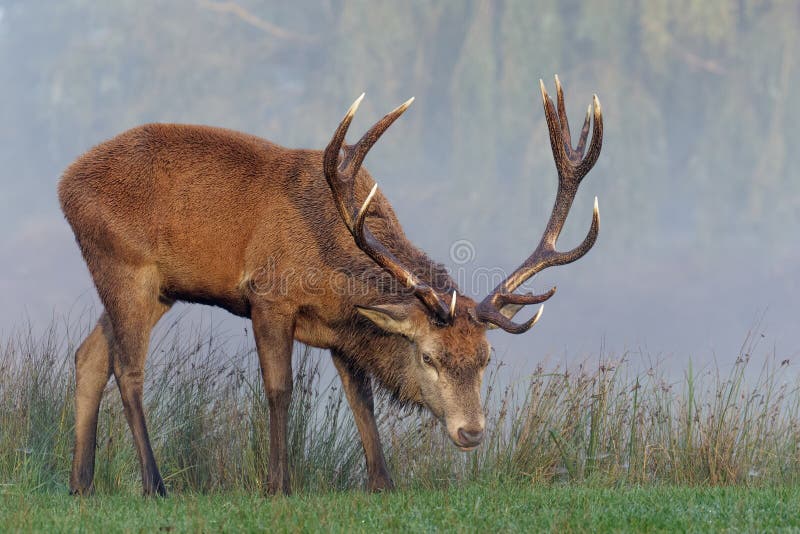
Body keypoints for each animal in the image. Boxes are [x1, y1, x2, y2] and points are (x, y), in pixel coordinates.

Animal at [58, 76, 603, 496]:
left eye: (486, 358)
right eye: (429, 356)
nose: (471, 432)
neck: (334, 271)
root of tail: (64, 184)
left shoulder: (345, 331)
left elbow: (361, 400)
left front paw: (382, 481)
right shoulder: (268, 295)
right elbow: (279, 389)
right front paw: (278, 484)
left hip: (160, 289)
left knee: (90, 356)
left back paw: (80, 483)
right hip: (125, 265)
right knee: (128, 369)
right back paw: (154, 484)